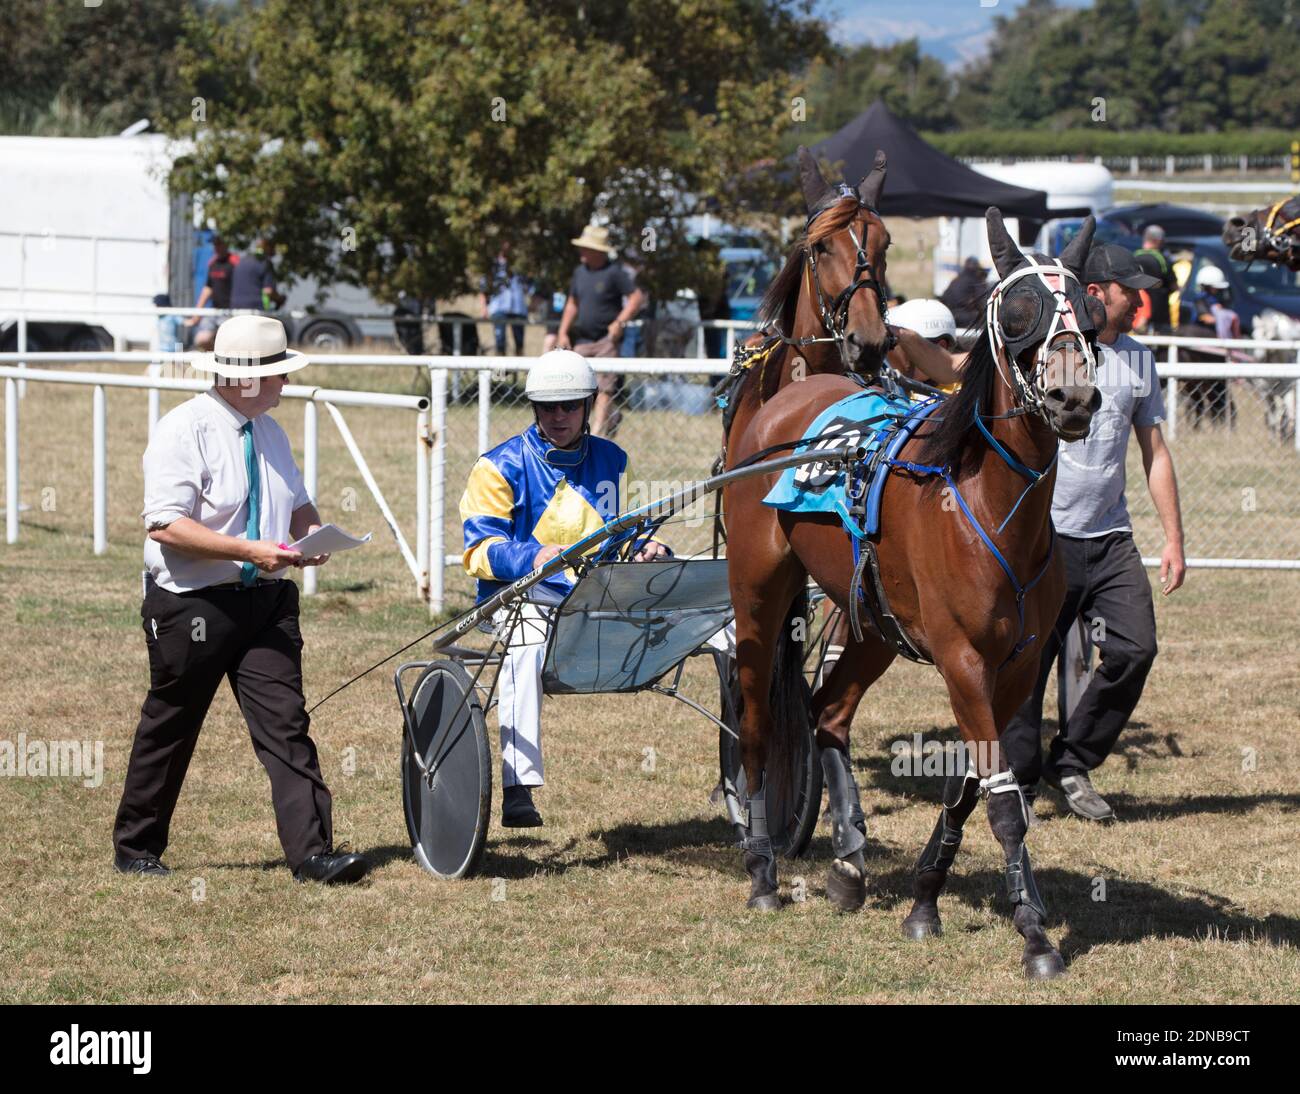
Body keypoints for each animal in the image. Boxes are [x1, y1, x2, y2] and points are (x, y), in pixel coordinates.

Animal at [723, 209, 1102, 979]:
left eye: (1090, 309)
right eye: (1019, 312)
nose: (1073, 398)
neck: (991, 505)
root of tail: (783, 404)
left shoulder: (1013, 668)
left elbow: (972, 785)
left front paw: (925, 899)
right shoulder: (962, 660)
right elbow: (1004, 802)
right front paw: (1036, 935)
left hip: (873, 622)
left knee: (827, 714)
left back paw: (848, 864)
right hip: (757, 595)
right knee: (757, 722)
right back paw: (762, 869)